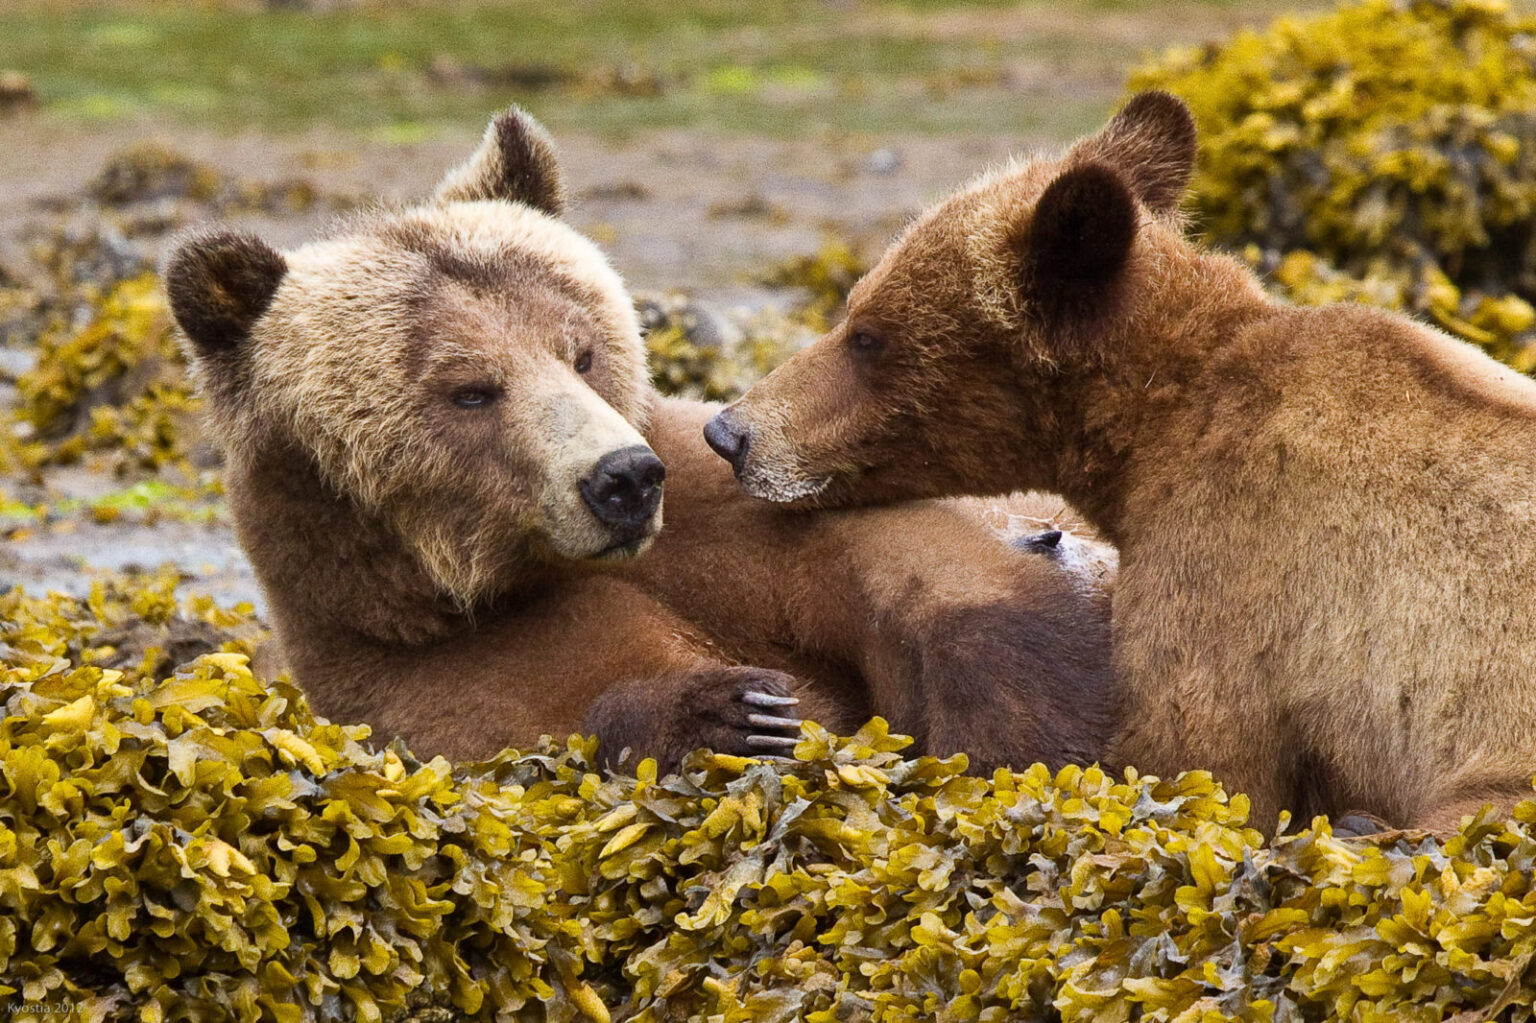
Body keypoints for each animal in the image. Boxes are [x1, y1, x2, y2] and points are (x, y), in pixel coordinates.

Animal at [165, 105, 1118, 774]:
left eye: (581, 350)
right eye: (470, 389)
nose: (620, 477)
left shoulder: (732, 500)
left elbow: (921, 567)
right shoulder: (431, 677)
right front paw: (742, 710)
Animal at [705, 91, 1536, 832]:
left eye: (868, 335)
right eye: (853, 307)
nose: (730, 431)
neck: (1154, 429)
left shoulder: (1234, 577)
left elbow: (1201, 762)